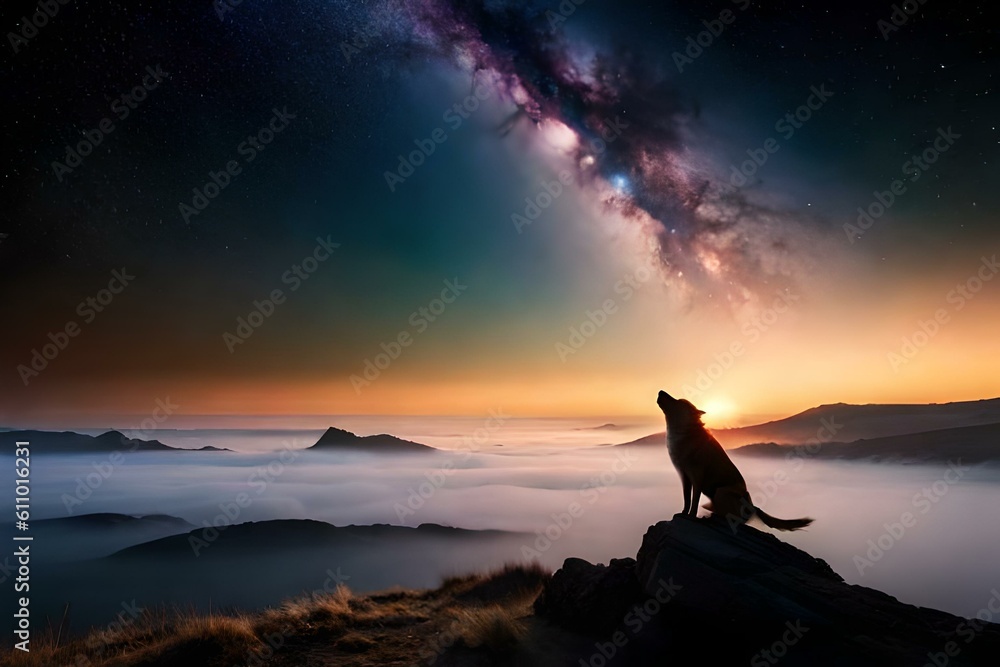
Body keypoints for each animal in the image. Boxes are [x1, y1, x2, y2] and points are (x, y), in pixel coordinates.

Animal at [657, 390, 813, 531]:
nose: (660, 391)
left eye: (679, 401)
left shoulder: (697, 477)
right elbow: (687, 499)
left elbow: (694, 501)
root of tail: (753, 507)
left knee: (728, 517)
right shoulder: (685, 477)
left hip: (720, 491)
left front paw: (690, 516)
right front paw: (683, 513)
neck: (685, 433)